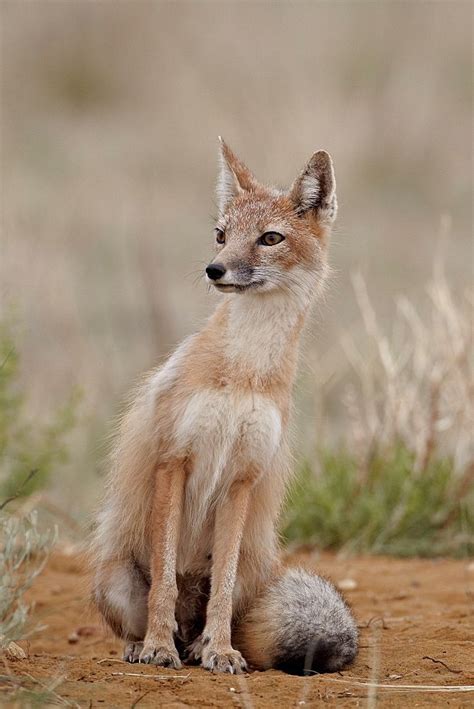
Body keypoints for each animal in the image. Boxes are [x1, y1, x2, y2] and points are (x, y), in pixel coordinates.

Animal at [90, 139, 358, 675]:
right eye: (221, 235)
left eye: (270, 238)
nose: (214, 270)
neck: (244, 372)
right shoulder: (174, 460)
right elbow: (164, 583)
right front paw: (157, 646)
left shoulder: (242, 478)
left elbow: (222, 586)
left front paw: (219, 650)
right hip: (115, 575)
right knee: (146, 615)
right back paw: (146, 645)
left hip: (252, 570)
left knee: (218, 604)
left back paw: (198, 647)